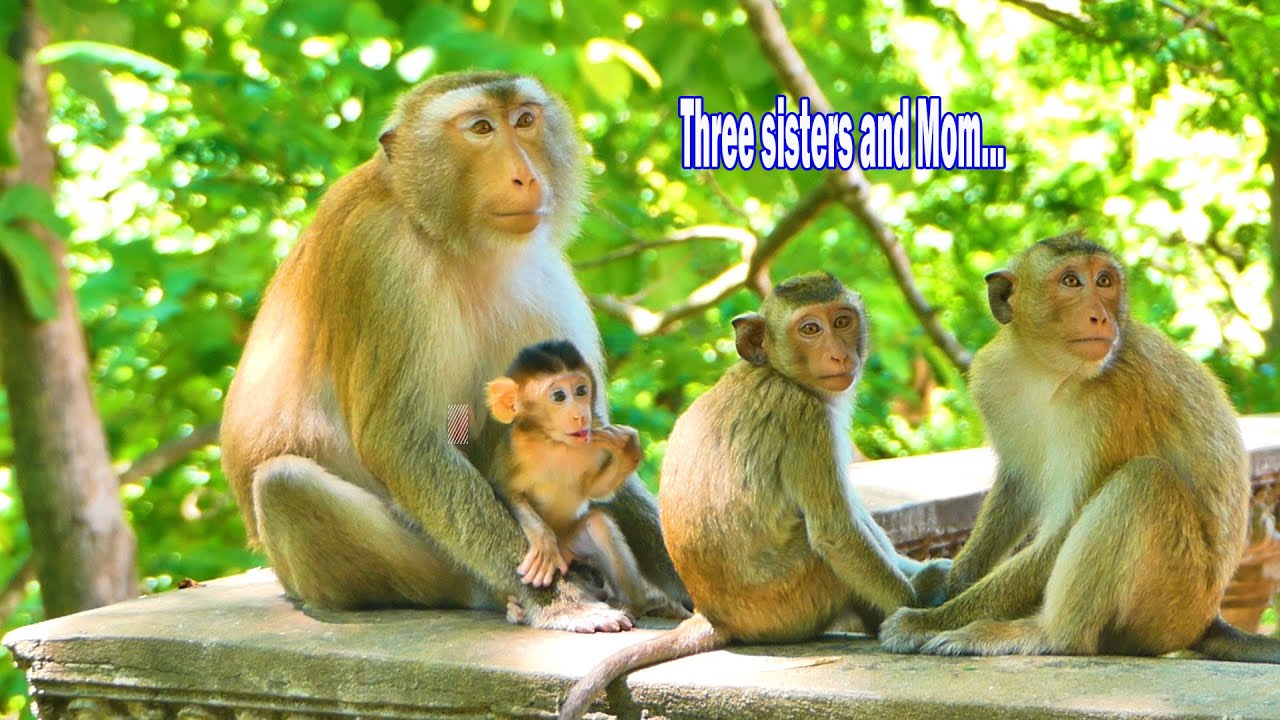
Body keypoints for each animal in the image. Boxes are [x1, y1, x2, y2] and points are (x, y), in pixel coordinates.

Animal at [485, 339, 691, 620]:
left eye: (582, 390)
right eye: (559, 396)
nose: (581, 416)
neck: (555, 443)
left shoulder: (593, 442)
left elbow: (596, 489)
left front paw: (627, 448)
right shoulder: (513, 449)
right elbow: (506, 490)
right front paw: (543, 540)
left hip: (574, 545)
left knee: (598, 524)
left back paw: (631, 603)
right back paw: (519, 609)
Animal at [558, 272, 953, 720]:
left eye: (842, 321)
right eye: (810, 329)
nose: (838, 354)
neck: (777, 373)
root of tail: (713, 616)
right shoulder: (806, 418)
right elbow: (835, 532)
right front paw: (913, 614)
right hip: (787, 602)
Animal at [879, 230, 1280, 664]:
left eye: (1105, 282)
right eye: (1071, 281)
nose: (1100, 316)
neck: (1048, 370)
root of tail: (1207, 619)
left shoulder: (1115, 397)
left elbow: (1065, 526)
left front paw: (927, 621)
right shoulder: (994, 375)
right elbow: (1018, 486)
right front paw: (950, 585)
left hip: (1175, 599)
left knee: (1143, 482)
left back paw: (1046, 635)